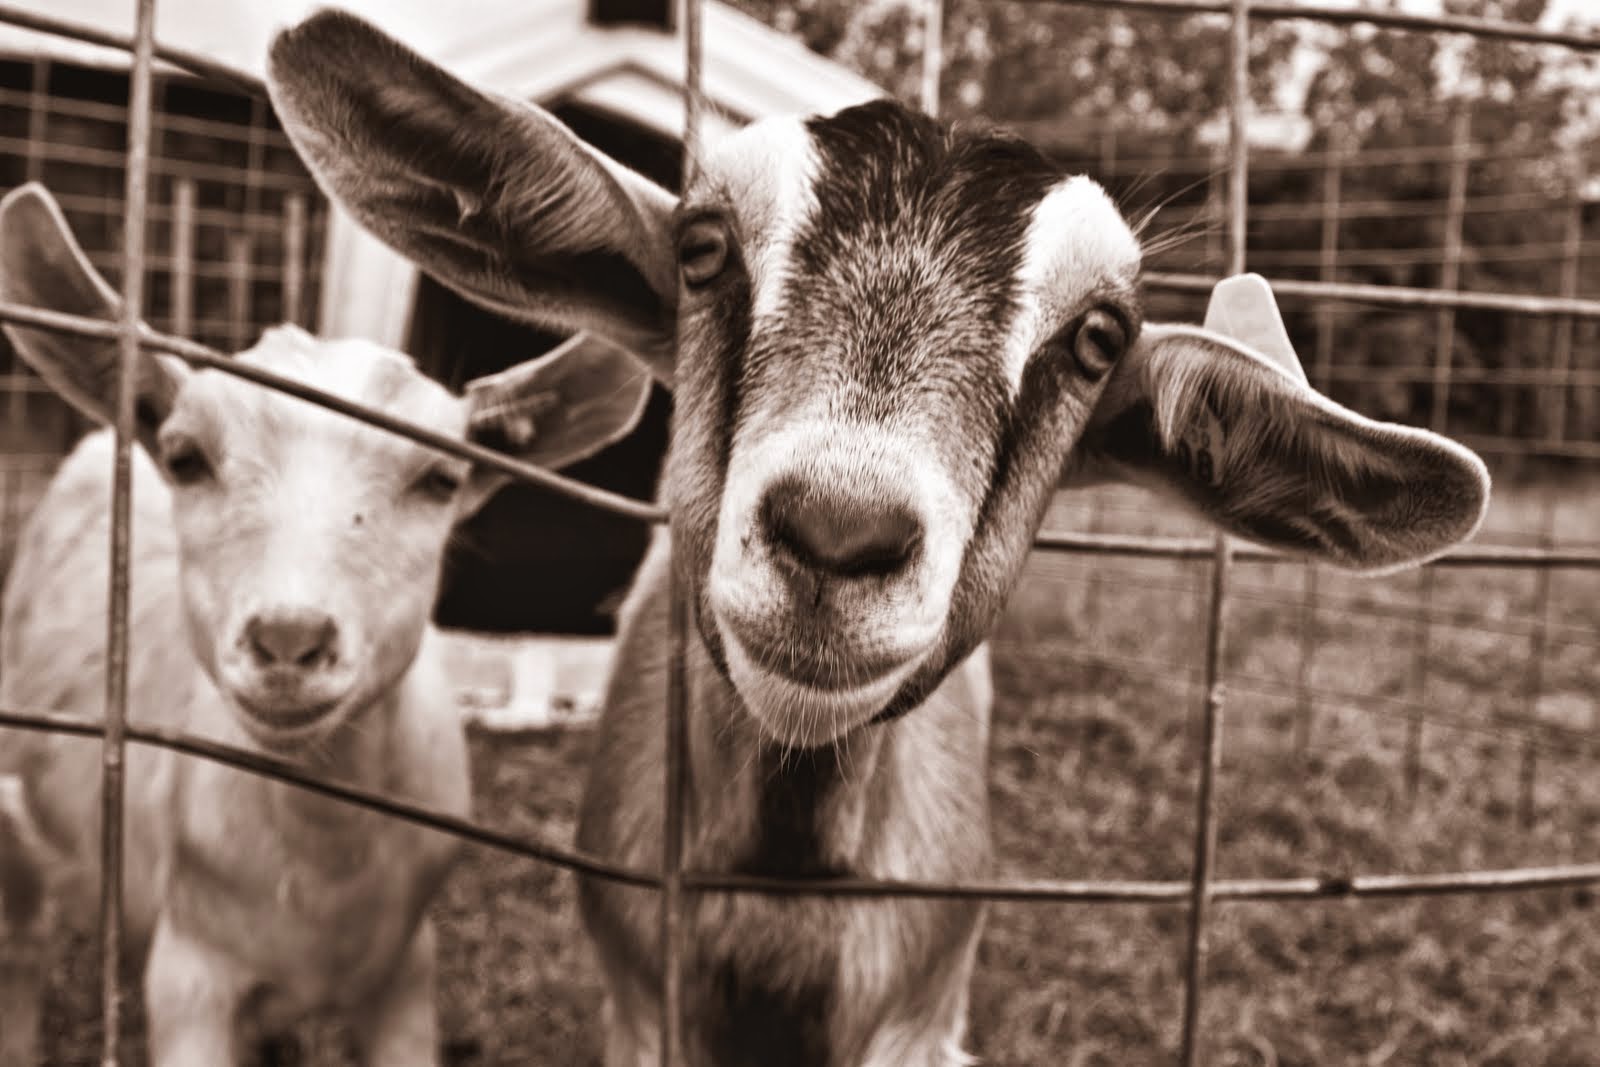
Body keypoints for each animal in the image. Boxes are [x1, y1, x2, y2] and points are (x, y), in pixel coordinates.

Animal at [0, 182, 651, 1065]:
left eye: (440, 477)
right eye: (185, 456)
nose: (288, 639)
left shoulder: (406, 970)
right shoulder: (193, 975)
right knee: (22, 937)